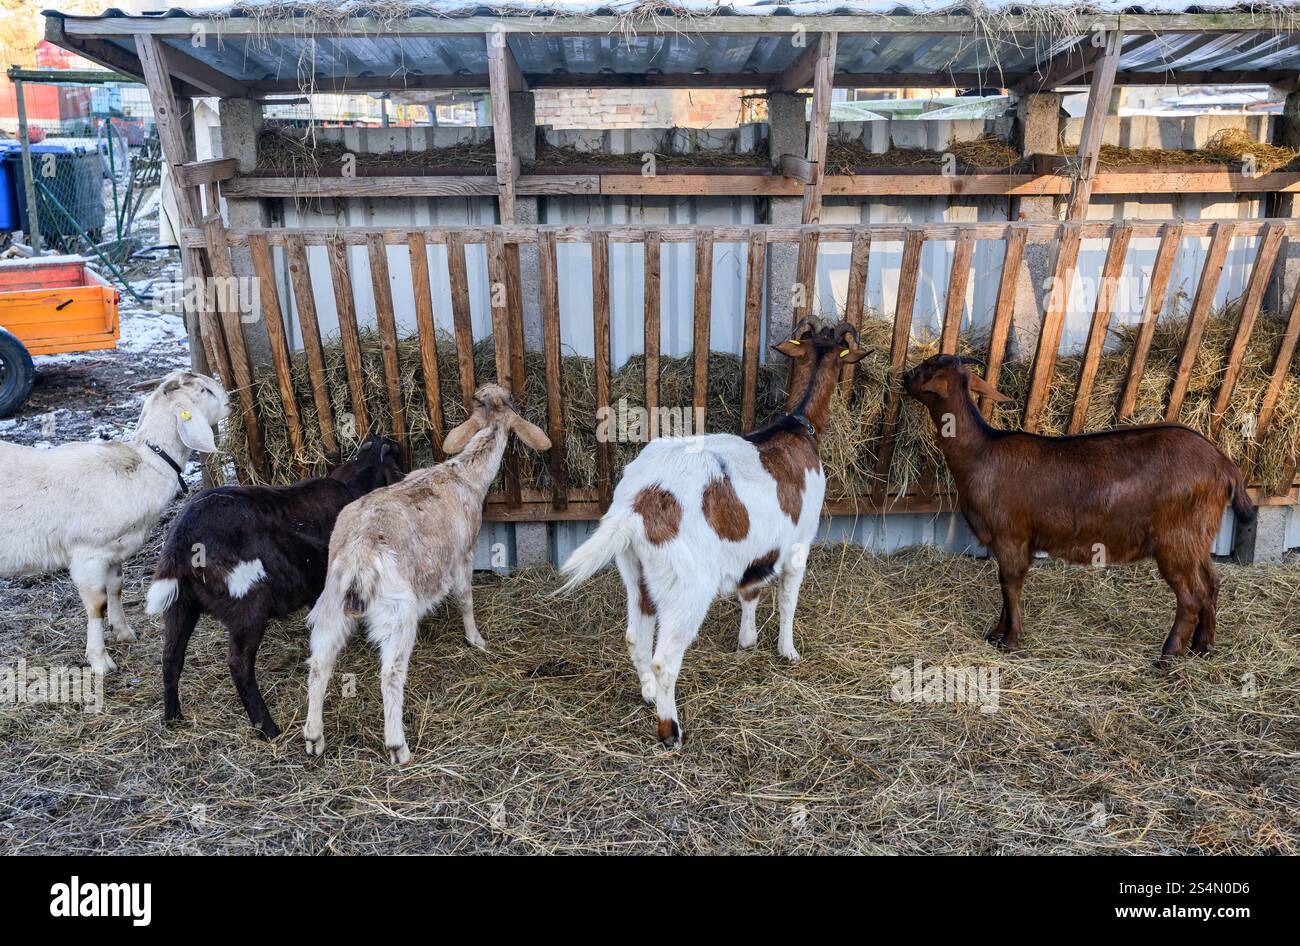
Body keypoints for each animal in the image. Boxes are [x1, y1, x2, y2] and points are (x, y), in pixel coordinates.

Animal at [0, 370, 228, 673]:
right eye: (205, 391)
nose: (229, 401)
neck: (143, 466)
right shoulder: (88, 554)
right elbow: (97, 604)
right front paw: (100, 661)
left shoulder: (113, 551)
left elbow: (116, 589)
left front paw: (124, 632)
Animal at [146, 437, 405, 738]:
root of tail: (181, 542)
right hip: (248, 604)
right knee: (238, 663)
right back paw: (267, 727)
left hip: (179, 604)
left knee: (171, 656)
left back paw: (173, 716)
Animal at [303, 384, 552, 763]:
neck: (464, 475)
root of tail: (359, 555)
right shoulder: (463, 554)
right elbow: (464, 598)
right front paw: (476, 639)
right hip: (397, 612)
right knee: (390, 673)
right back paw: (398, 746)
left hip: (331, 600)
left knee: (319, 661)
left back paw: (314, 737)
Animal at [556, 320, 866, 747]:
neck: (797, 428)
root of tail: (638, 503)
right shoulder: (798, 543)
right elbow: (787, 599)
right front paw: (787, 651)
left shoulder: (755, 551)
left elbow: (750, 591)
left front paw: (747, 641)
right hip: (687, 585)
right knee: (665, 660)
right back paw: (670, 730)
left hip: (637, 570)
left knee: (637, 636)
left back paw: (647, 694)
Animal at [902, 354, 1256, 662]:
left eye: (928, 366)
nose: (904, 377)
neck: (981, 452)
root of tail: (1226, 466)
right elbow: (1006, 587)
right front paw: (997, 634)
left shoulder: (1010, 535)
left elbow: (1010, 583)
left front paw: (1011, 640)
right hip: (1199, 535)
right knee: (1211, 584)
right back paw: (1202, 646)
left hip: (1176, 538)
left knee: (1191, 595)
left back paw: (1168, 655)